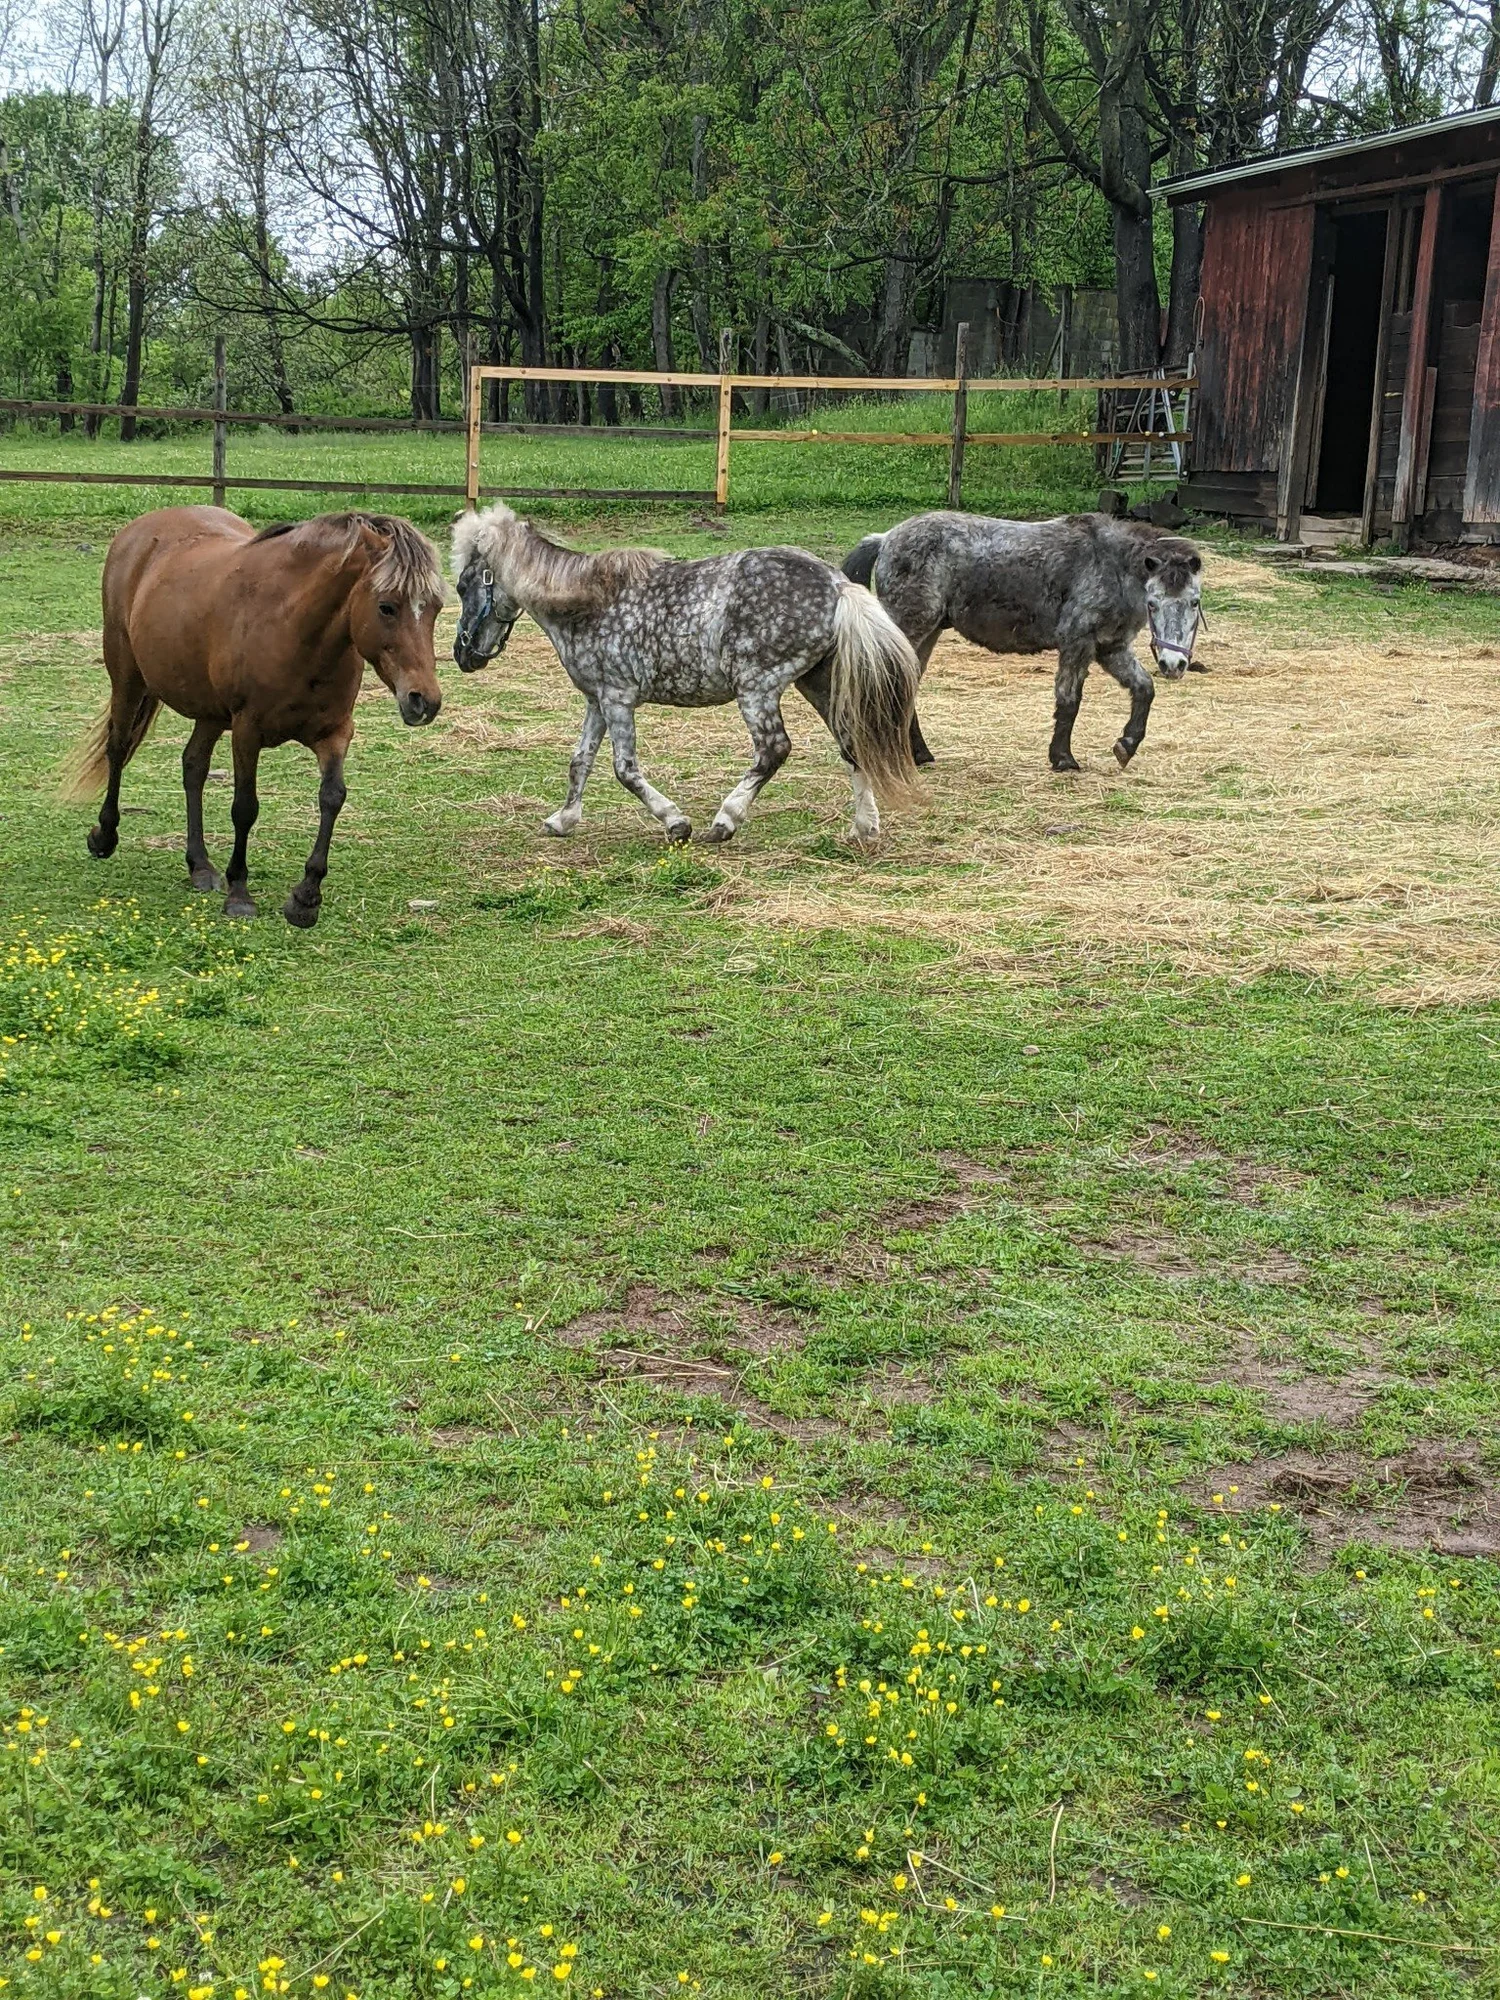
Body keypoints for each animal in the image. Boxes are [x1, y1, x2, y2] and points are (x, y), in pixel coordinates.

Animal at [65, 507, 445, 927]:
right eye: (387, 606)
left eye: (435, 608)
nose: (423, 701)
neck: (294, 628)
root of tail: (138, 529)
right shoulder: (247, 731)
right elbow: (245, 808)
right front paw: (240, 893)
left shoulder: (334, 733)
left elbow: (332, 797)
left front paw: (306, 897)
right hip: (127, 677)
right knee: (118, 747)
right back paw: (105, 836)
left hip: (210, 712)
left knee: (193, 766)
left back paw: (200, 866)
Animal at [450, 503, 920, 844]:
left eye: (461, 586)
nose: (463, 654)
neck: (585, 605)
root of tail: (839, 586)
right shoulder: (597, 701)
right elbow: (579, 762)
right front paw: (563, 820)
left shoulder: (618, 699)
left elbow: (625, 769)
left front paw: (676, 823)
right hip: (817, 682)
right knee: (851, 742)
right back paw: (865, 828)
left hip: (757, 688)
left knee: (773, 750)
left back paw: (724, 821)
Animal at [842, 511, 1204, 773]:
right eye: (1153, 603)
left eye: (1194, 602)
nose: (1173, 665)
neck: (1112, 566)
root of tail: (886, 538)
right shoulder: (1077, 642)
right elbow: (1069, 700)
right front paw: (1063, 759)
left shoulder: (1110, 648)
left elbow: (1144, 689)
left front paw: (1126, 746)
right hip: (910, 628)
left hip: (927, 634)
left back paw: (918, 754)